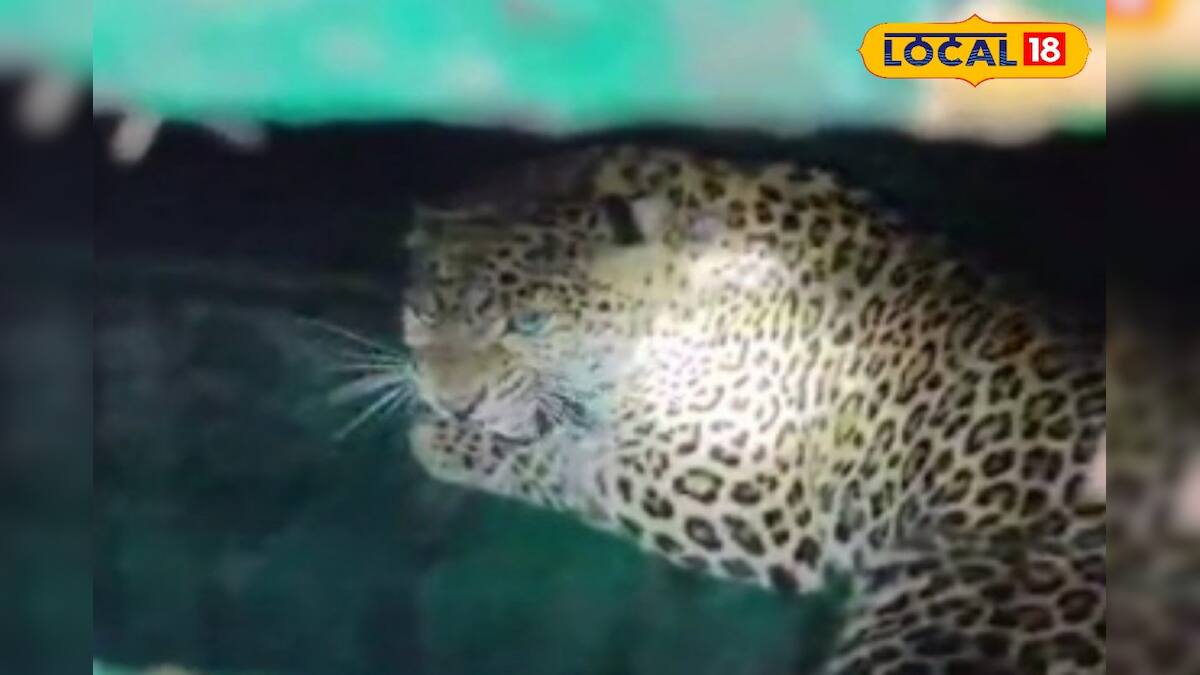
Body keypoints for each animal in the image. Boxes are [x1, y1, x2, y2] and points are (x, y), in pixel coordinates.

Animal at [377, 146, 1107, 674]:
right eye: (425, 312)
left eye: (528, 323)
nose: (452, 401)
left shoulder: (760, 498)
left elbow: (572, 460)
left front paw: (443, 441)